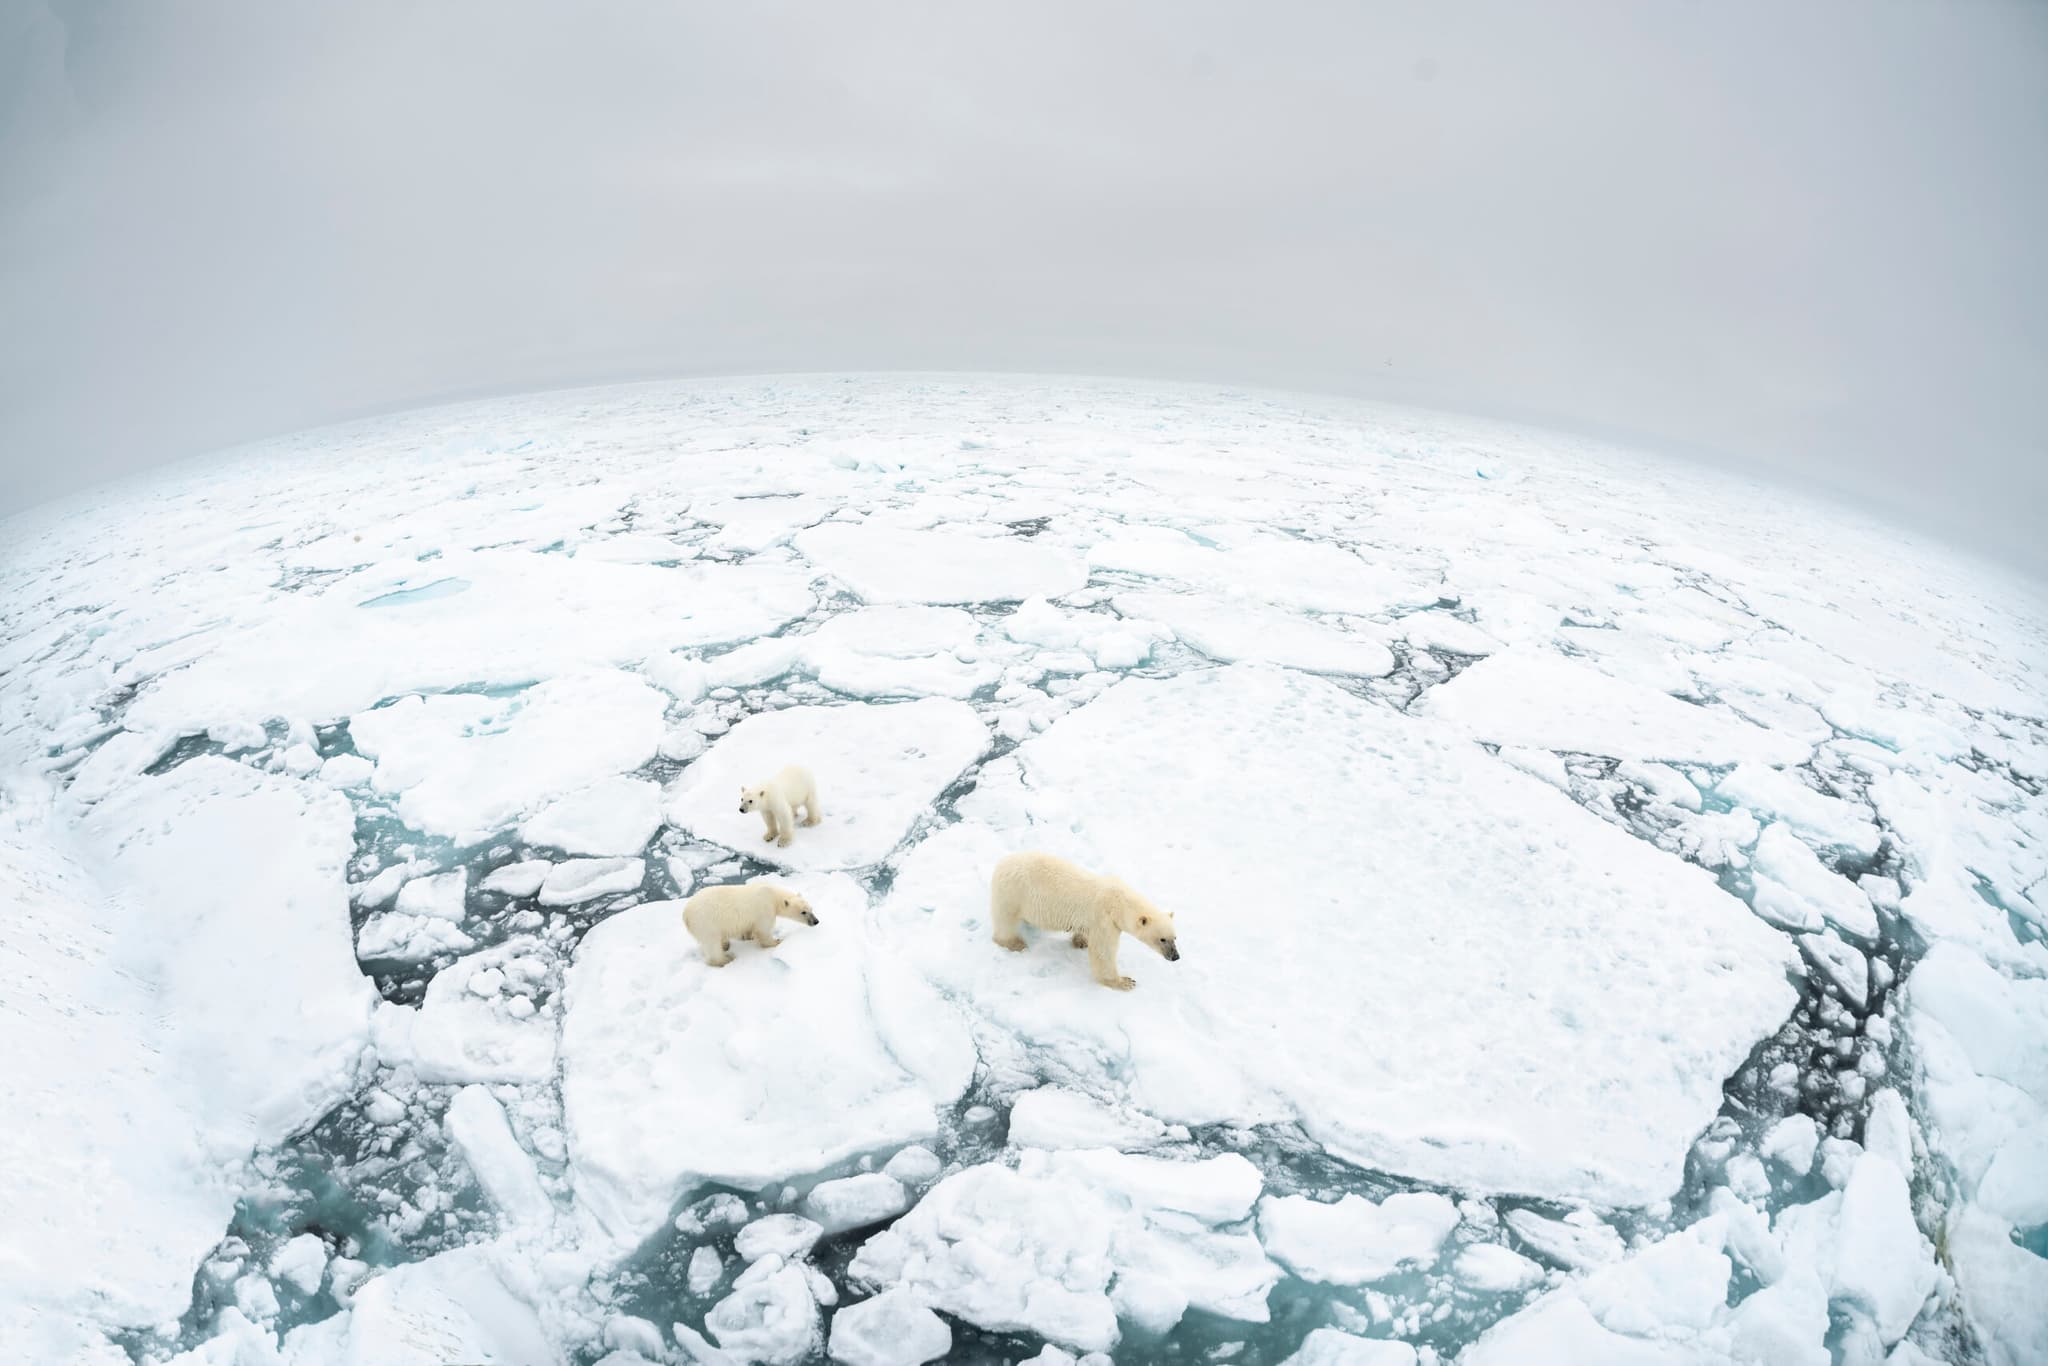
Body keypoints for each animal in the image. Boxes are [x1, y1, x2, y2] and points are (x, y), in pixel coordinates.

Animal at [683, 881, 818, 966]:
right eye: (803, 912)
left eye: (811, 909)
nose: (816, 921)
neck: (772, 895)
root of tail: (686, 914)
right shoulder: (764, 908)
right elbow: (763, 930)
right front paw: (776, 941)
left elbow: (749, 929)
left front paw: (748, 936)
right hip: (706, 922)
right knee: (712, 944)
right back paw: (726, 959)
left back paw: (725, 945)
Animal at [989, 850, 1179, 991]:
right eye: (1162, 939)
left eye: (1175, 938)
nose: (1176, 957)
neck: (1117, 900)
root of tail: (1000, 865)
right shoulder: (1104, 920)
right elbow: (1103, 952)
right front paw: (1124, 981)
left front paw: (1081, 941)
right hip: (1013, 894)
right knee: (1006, 922)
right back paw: (1015, 943)